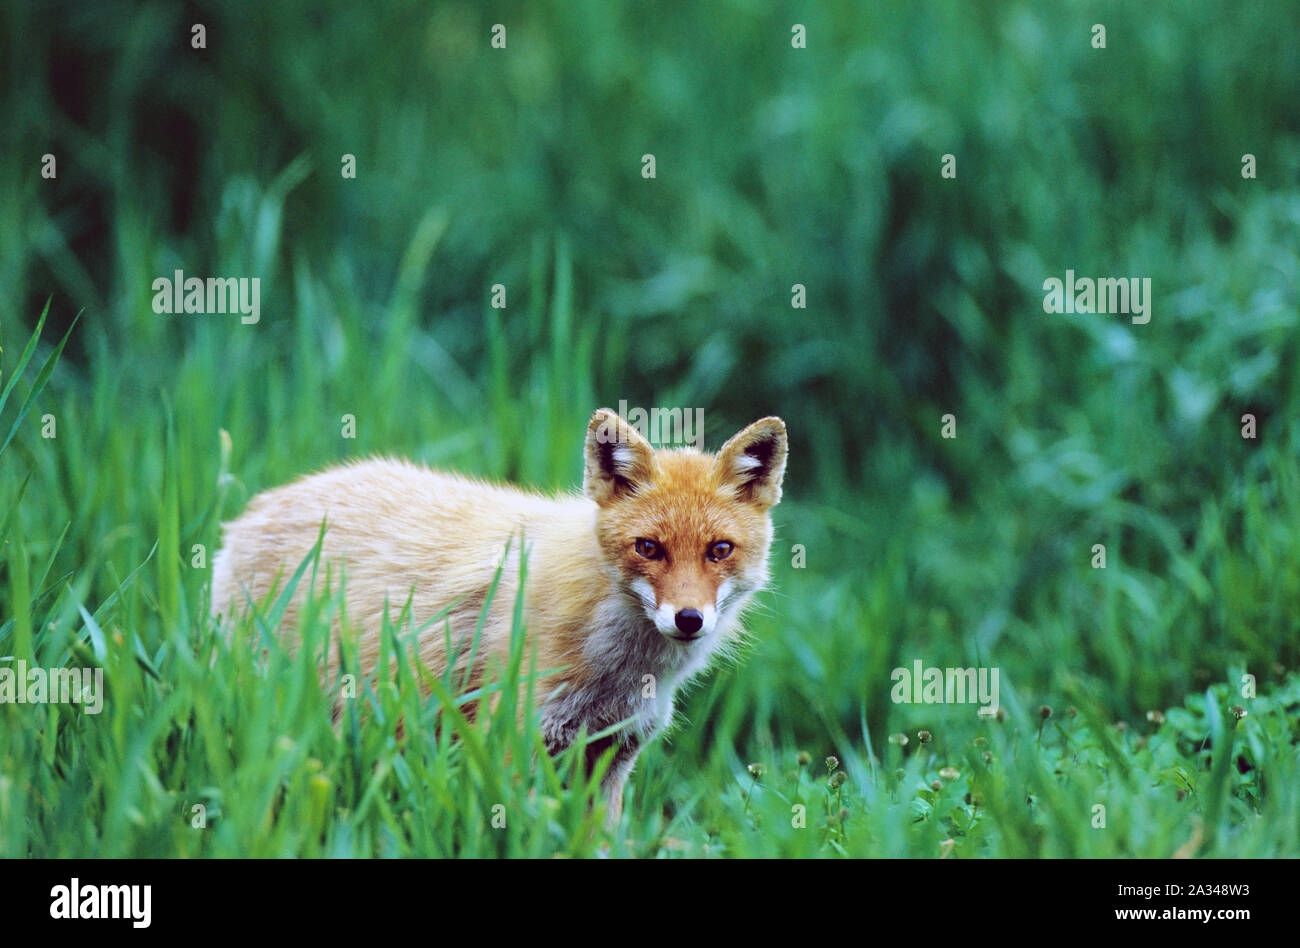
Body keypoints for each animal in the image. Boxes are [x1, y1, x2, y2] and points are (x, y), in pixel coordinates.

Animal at [210, 408, 787, 821]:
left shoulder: (612, 756)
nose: (688, 619)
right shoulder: (514, 742)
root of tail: (254, 509)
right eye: (648, 548)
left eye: (719, 550)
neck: (620, 672)